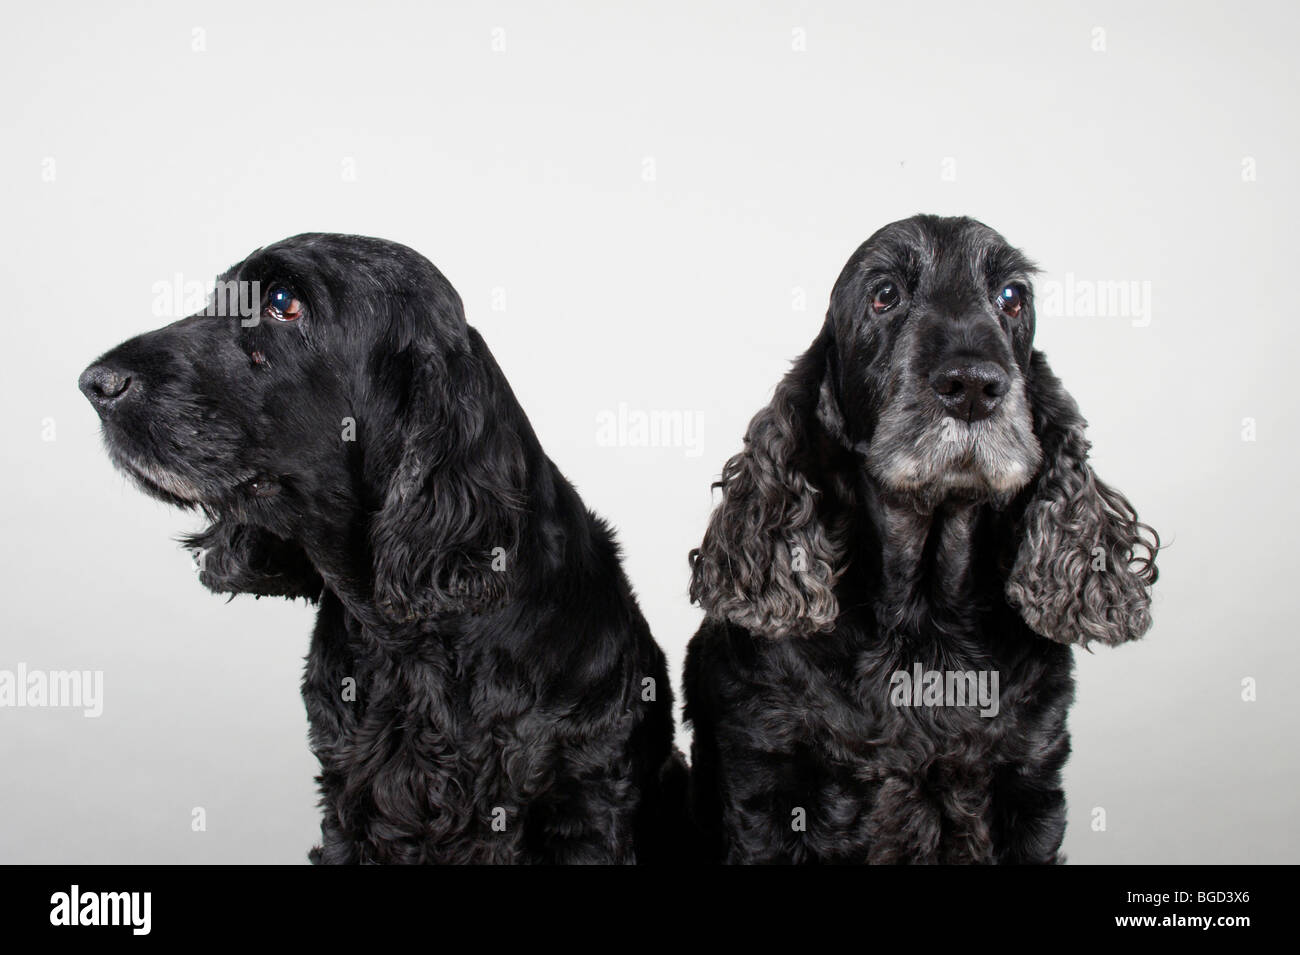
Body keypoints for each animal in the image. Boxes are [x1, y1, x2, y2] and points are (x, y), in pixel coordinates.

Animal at [83, 233, 681, 867]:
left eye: (281, 302)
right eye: (219, 297)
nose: (95, 383)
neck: (413, 645)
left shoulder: (585, 803)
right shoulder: (351, 802)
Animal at [686, 216, 1164, 867]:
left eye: (1012, 297)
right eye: (885, 294)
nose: (973, 386)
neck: (923, 615)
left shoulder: (1031, 781)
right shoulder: (767, 782)